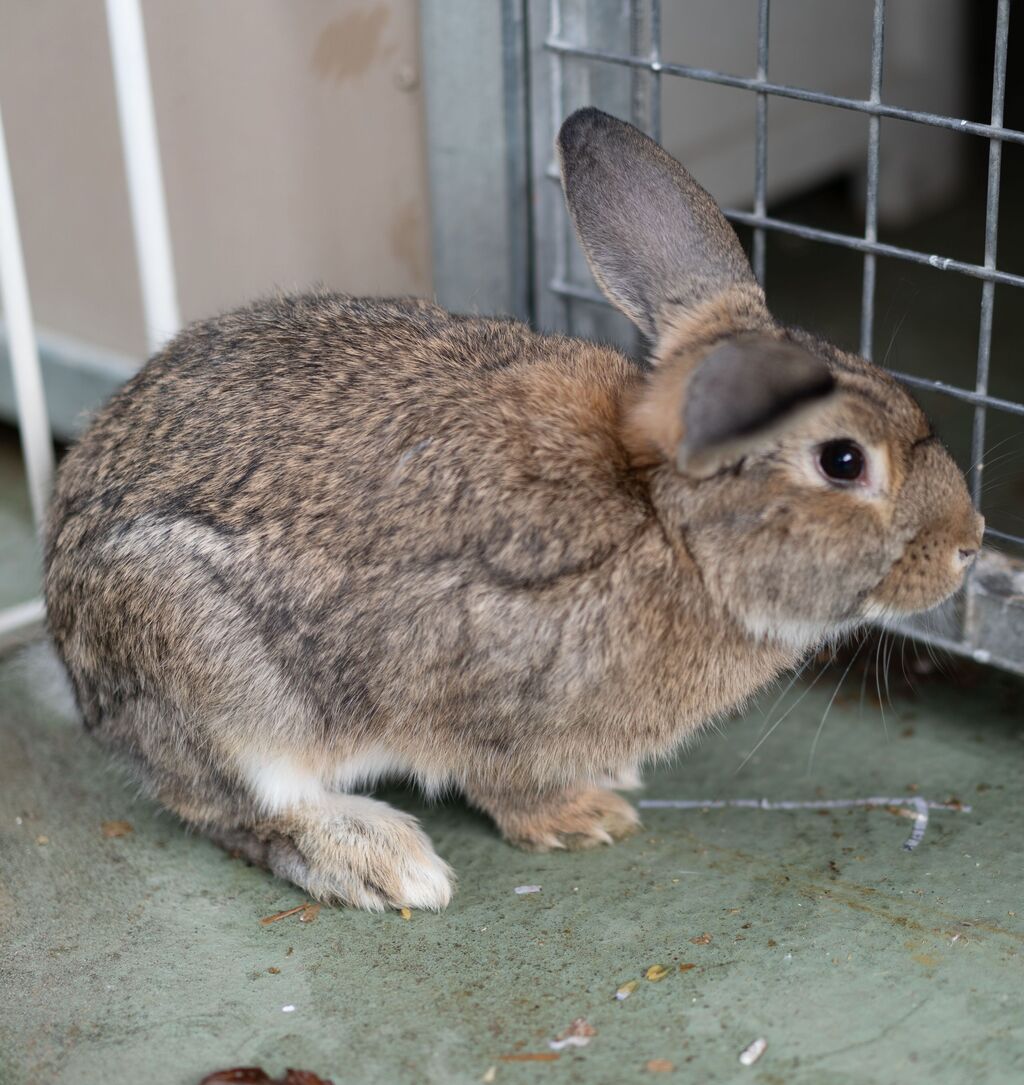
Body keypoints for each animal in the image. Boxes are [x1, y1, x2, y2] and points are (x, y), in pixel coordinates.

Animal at [44, 108, 983, 911]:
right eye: (843, 462)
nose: (970, 544)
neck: (665, 522)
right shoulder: (487, 690)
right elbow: (502, 779)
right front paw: (584, 816)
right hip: (217, 674)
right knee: (238, 807)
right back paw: (383, 861)